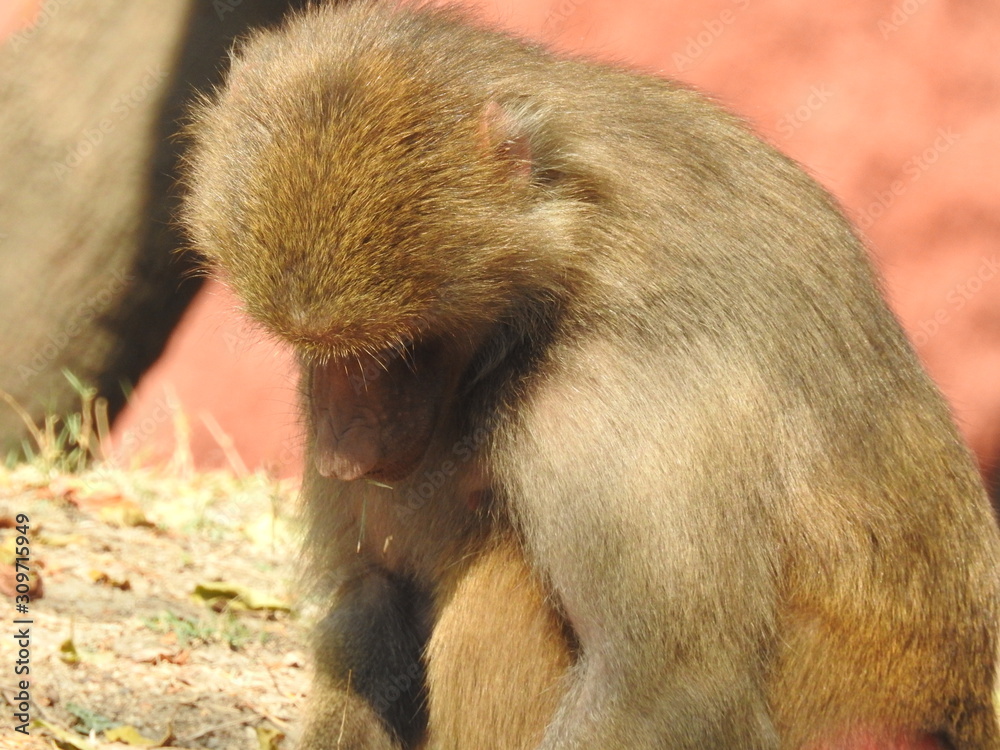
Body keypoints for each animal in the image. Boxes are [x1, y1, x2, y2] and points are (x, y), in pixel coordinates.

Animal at [181, 2, 1000, 748]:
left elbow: (664, 682)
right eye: (320, 351)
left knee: (505, 593)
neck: (570, 246)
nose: (342, 449)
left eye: (399, 347)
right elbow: (377, 588)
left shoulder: (617, 388)